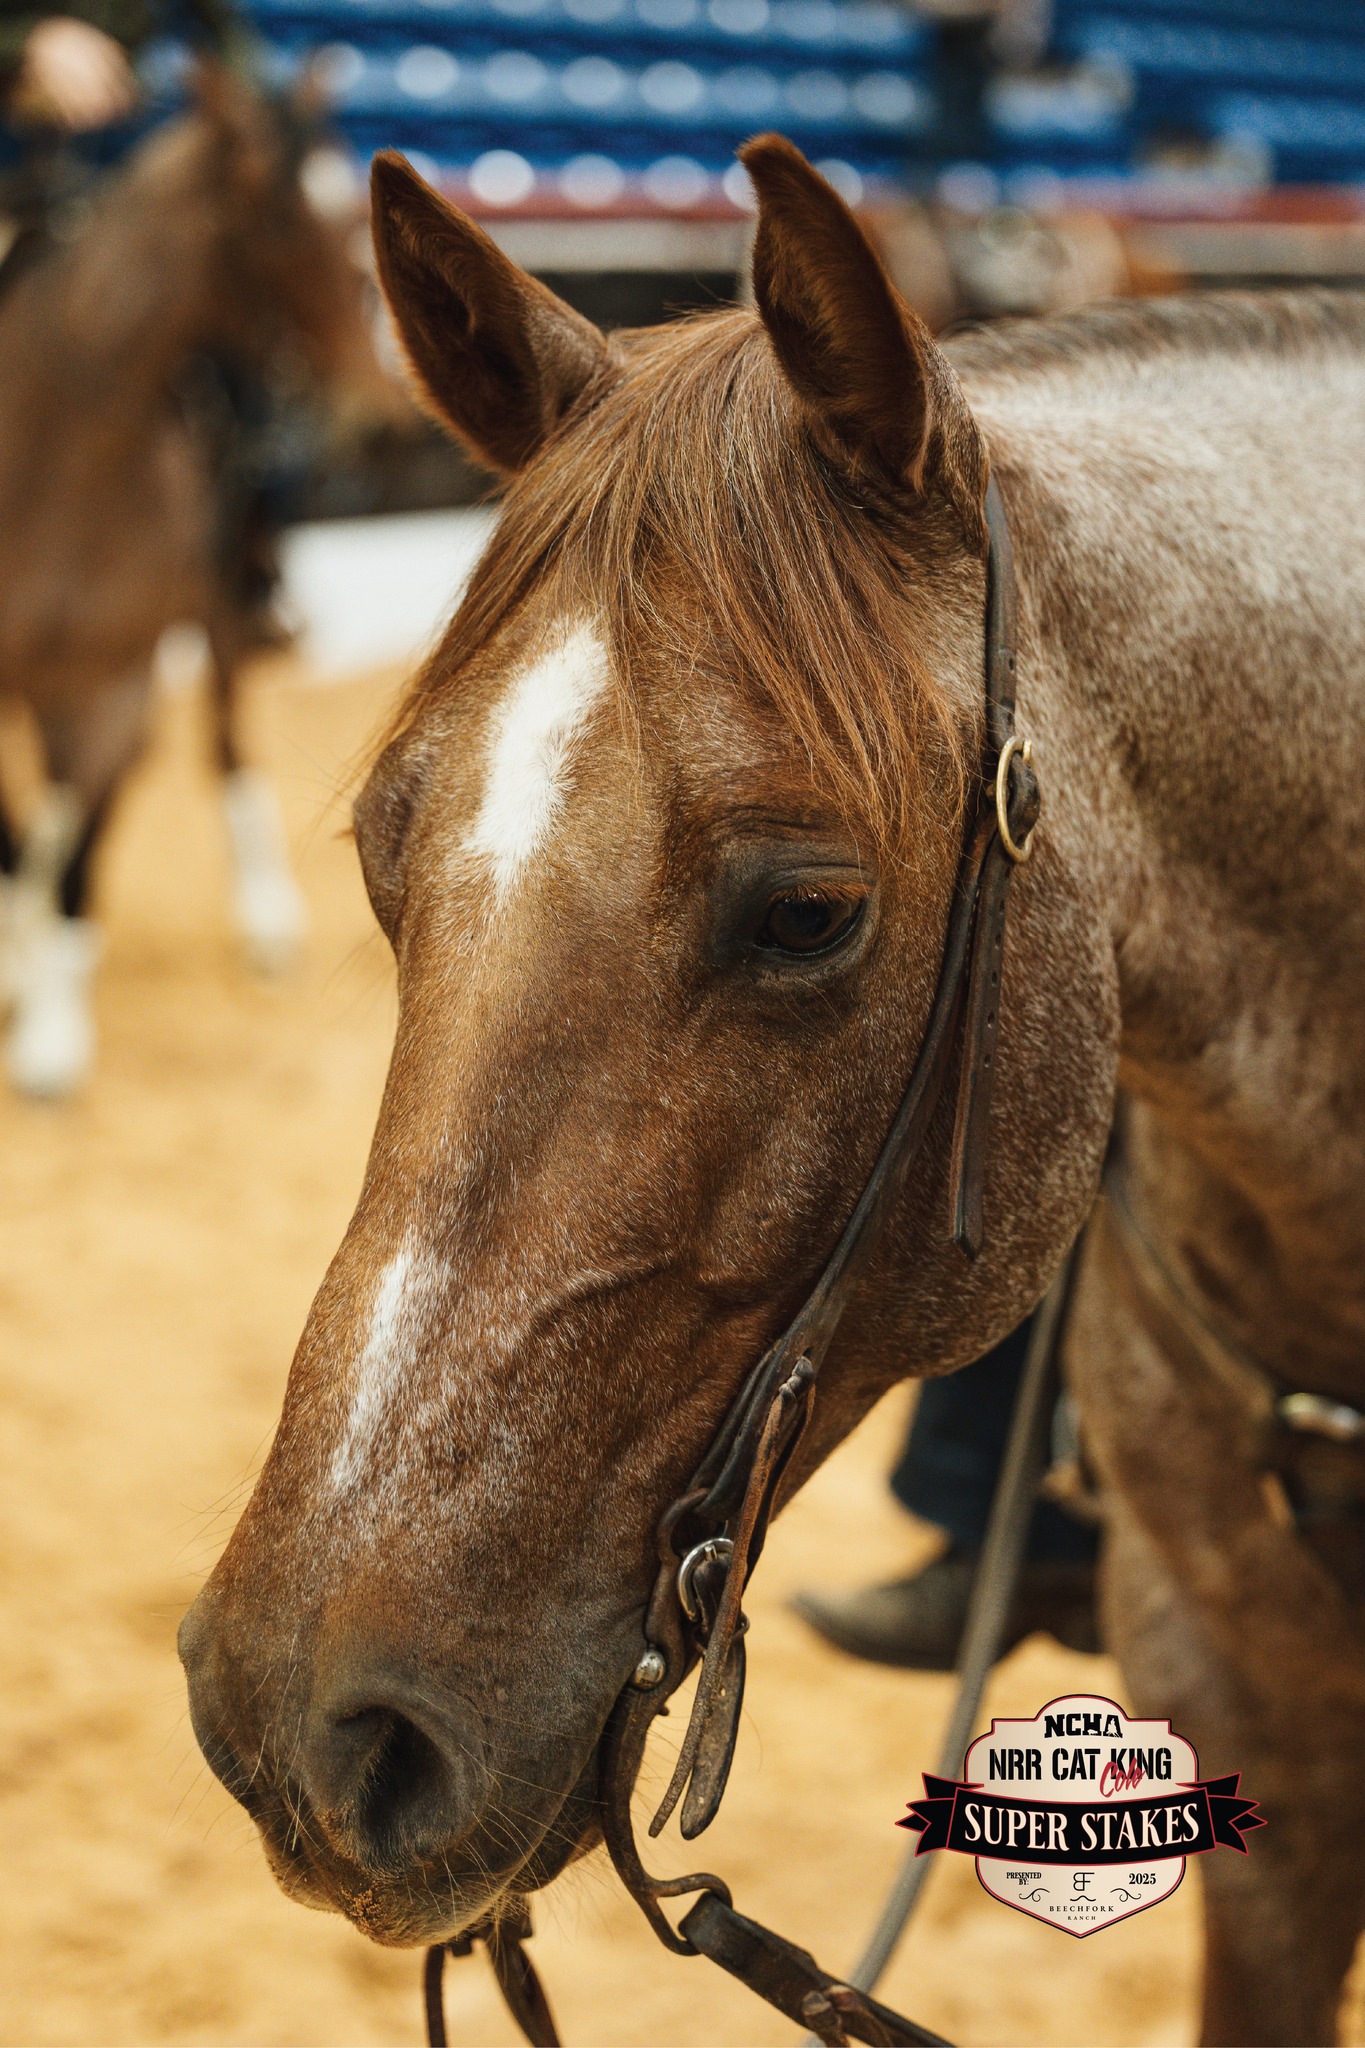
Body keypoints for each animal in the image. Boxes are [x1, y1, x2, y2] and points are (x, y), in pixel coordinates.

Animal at [0, 67, 383, 1097]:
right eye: (281, 221)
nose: (378, 400)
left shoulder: (106, 676)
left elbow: (73, 839)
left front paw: (49, 1025)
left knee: (222, 729)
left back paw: (266, 916)